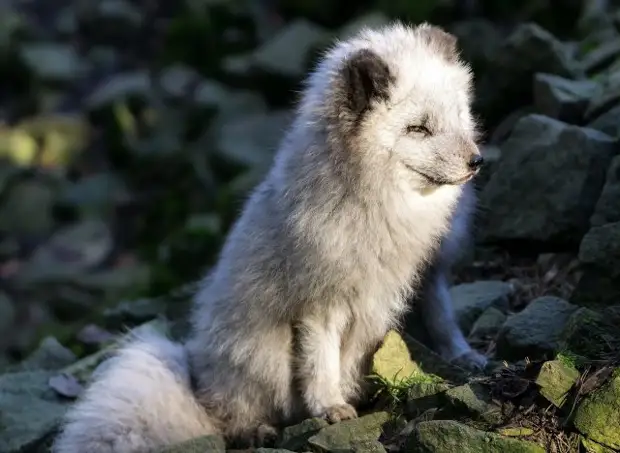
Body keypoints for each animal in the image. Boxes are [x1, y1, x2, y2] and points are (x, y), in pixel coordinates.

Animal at [53, 22, 486, 452]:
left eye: (458, 115)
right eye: (418, 128)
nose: (476, 161)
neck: (390, 211)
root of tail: (197, 382)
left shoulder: (428, 276)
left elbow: (442, 320)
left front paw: (463, 356)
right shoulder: (319, 306)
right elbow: (321, 364)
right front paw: (331, 407)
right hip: (256, 360)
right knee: (232, 419)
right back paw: (257, 430)